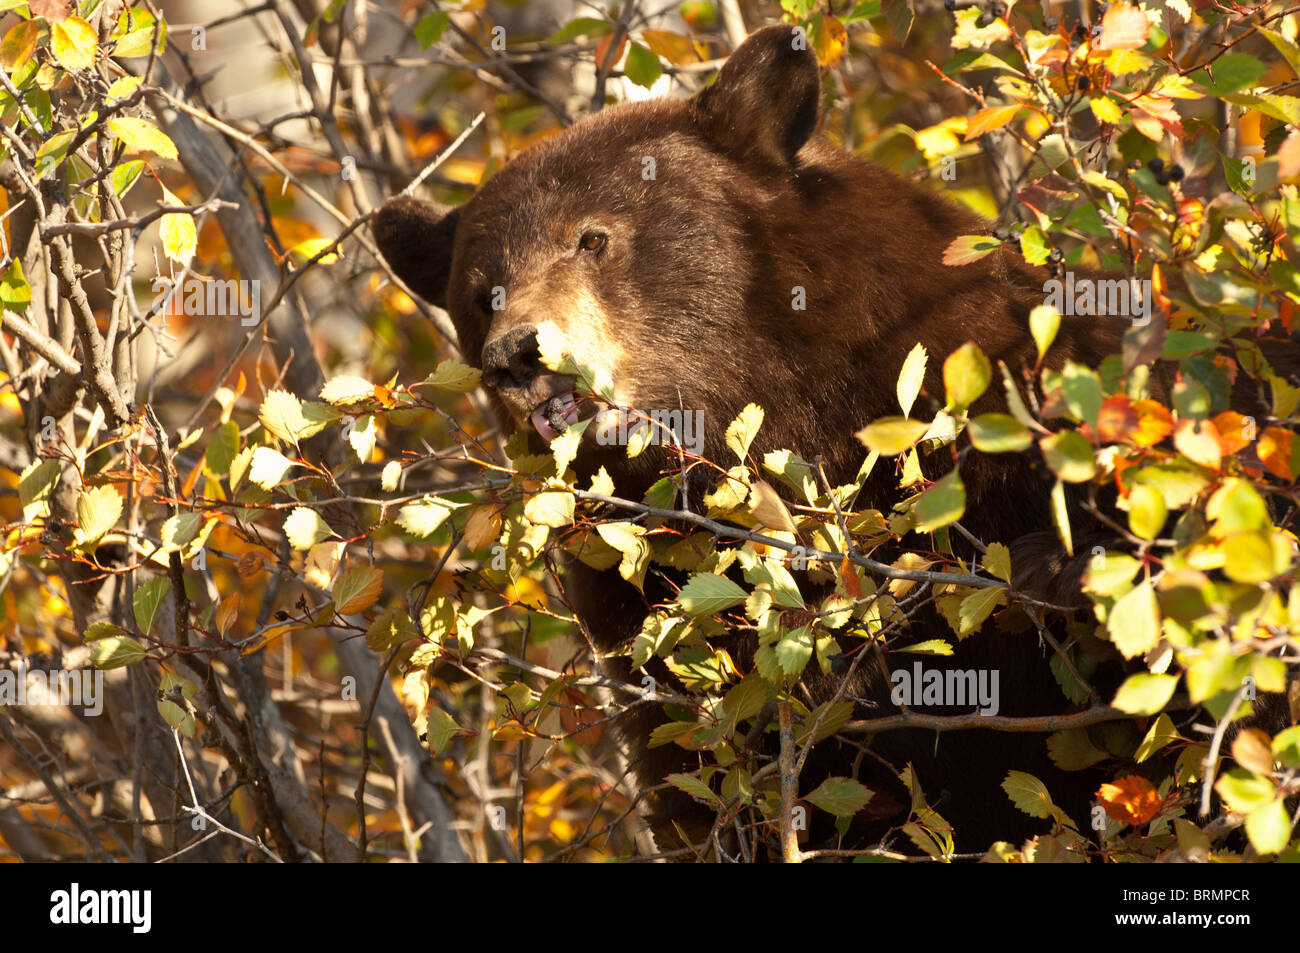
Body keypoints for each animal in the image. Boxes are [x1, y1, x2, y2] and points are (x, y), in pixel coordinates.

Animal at [372, 24, 1194, 856]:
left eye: (593, 237)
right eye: (480, 291)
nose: (517, 355)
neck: (796, 409)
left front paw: (1060, 569)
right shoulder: (644, 627)